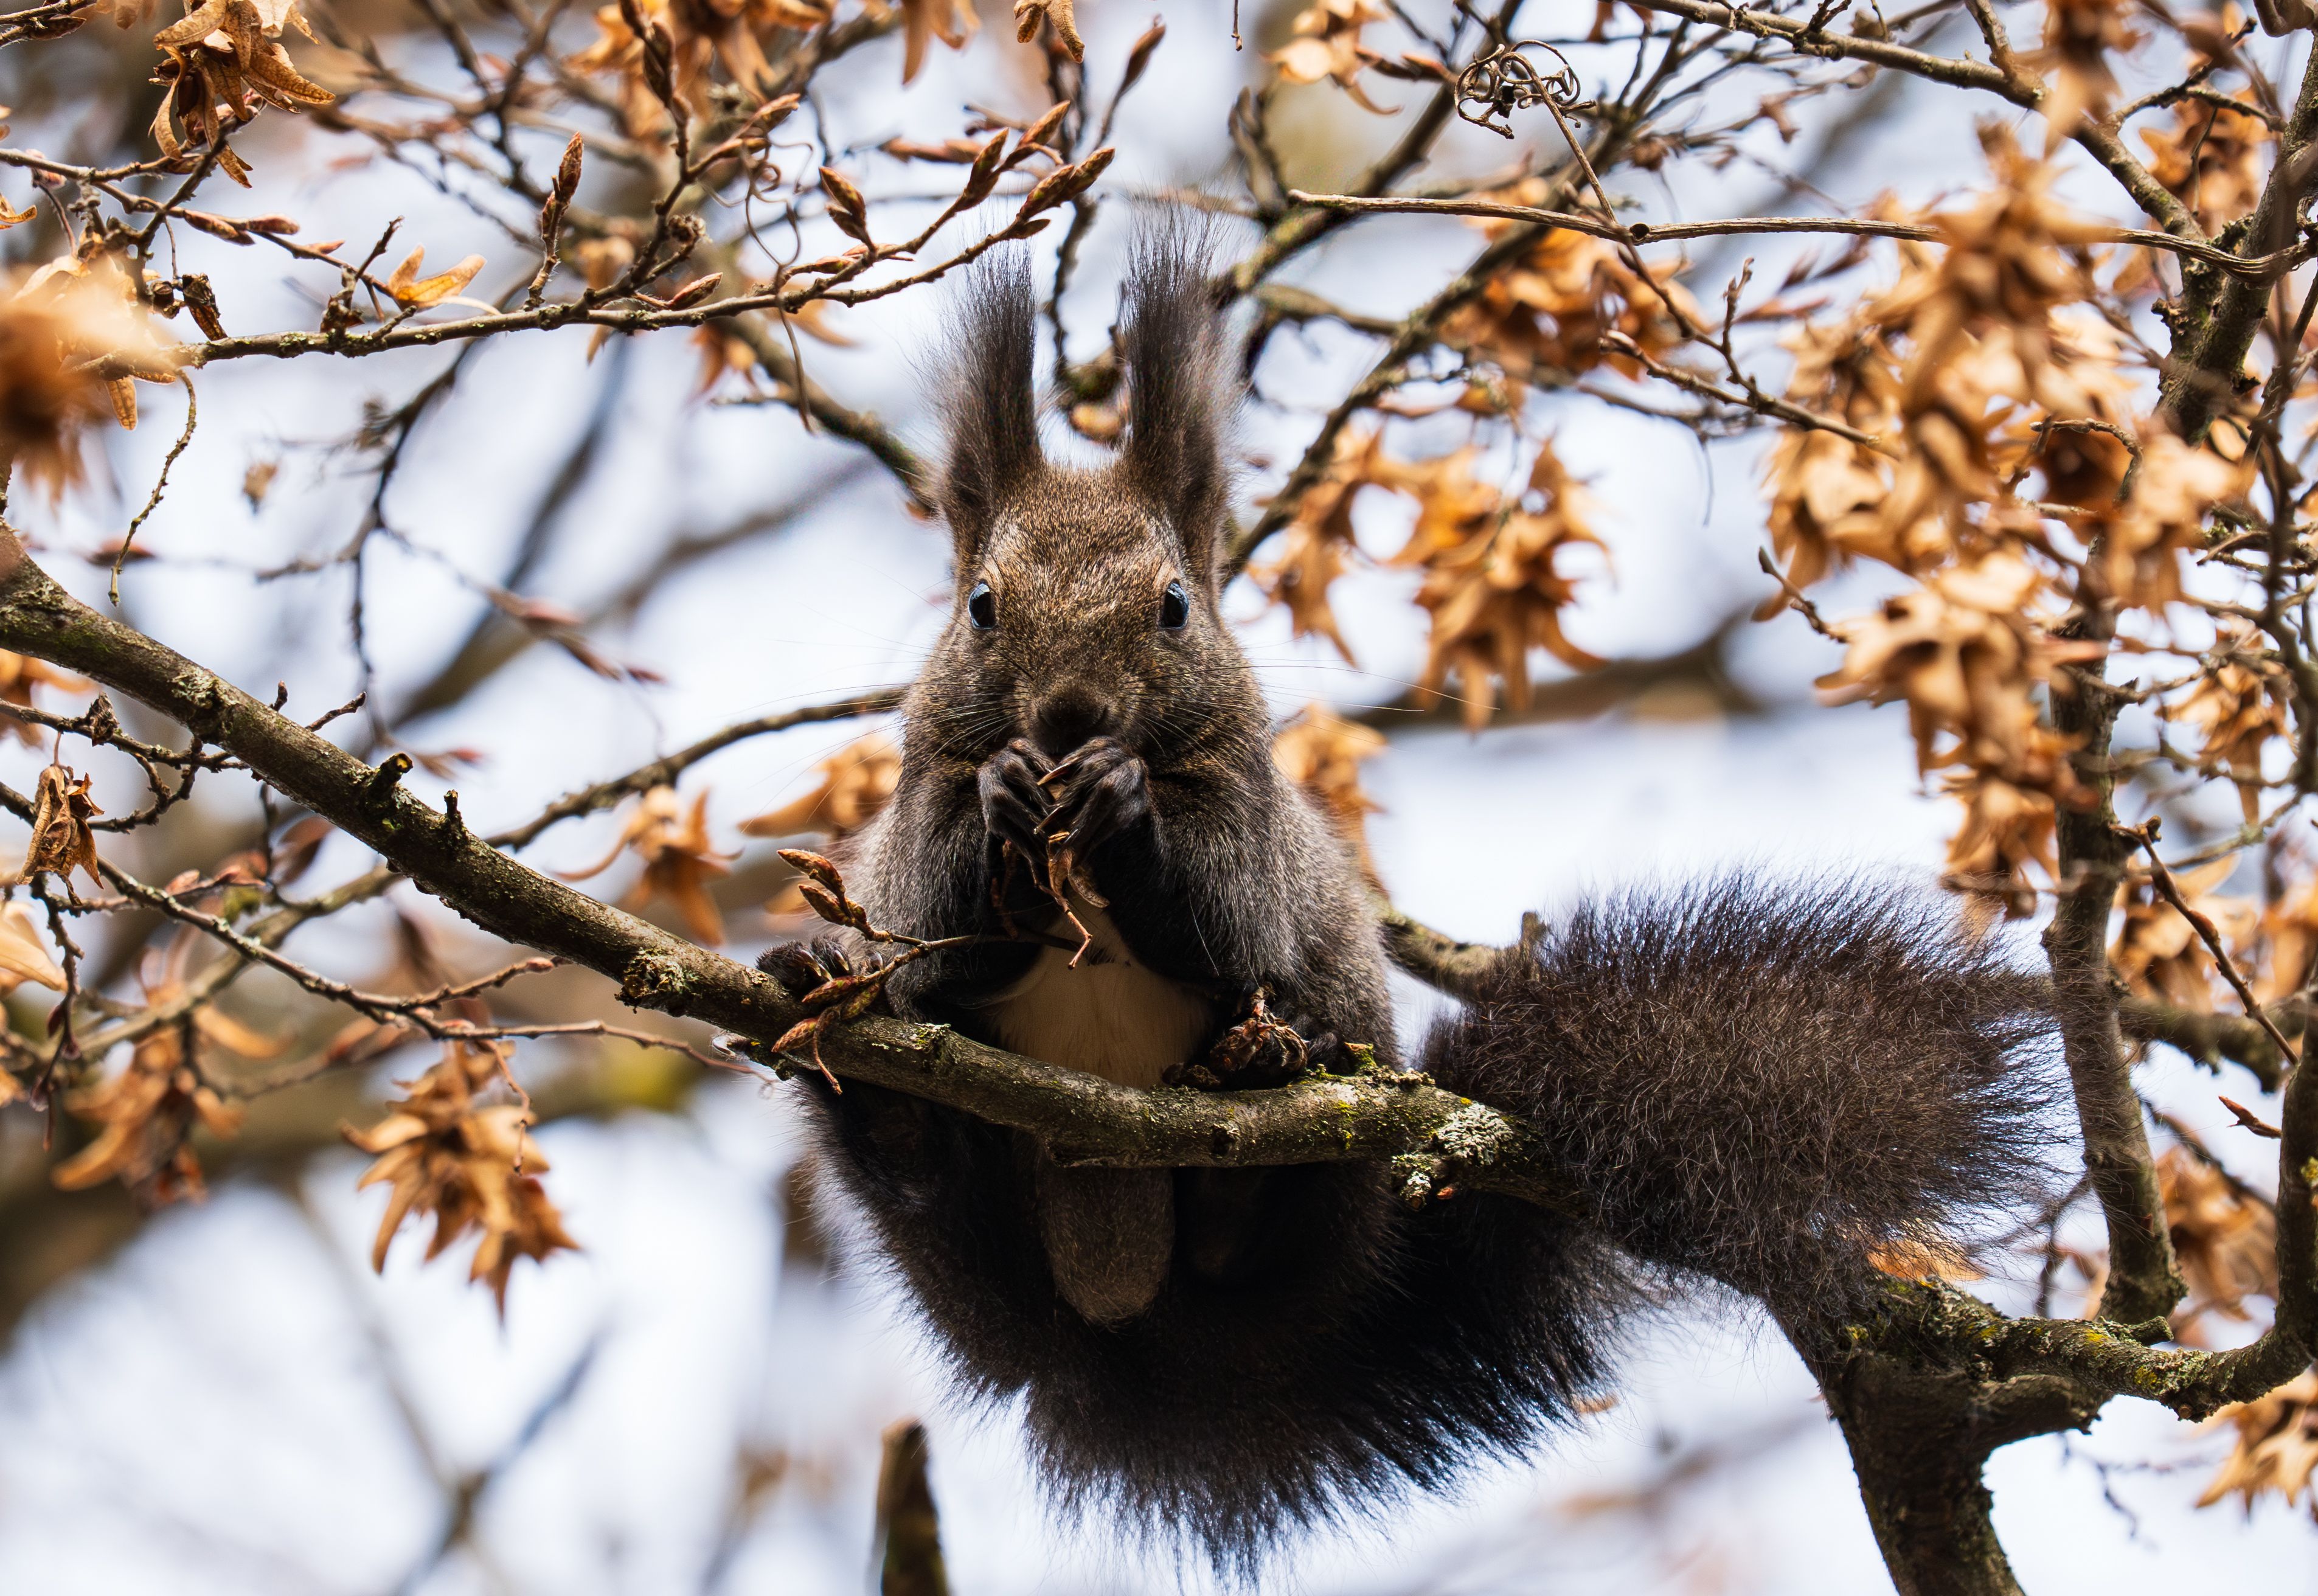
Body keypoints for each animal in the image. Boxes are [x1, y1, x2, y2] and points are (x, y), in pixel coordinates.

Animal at [760, 231, 2055, 1572]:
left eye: (1175, 605)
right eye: (979, 606)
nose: (1069, 716)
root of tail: (1127, 1315)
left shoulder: (1253, 817)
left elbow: (1229, 923)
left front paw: (1121, 801)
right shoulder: (913, 824)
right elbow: (931, 944)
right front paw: (1010, 798)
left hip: (1326, 1144)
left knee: (1251, 1211)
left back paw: (1252, 1102)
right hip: (957, 1220)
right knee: (919, 1169)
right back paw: (852, 1053)